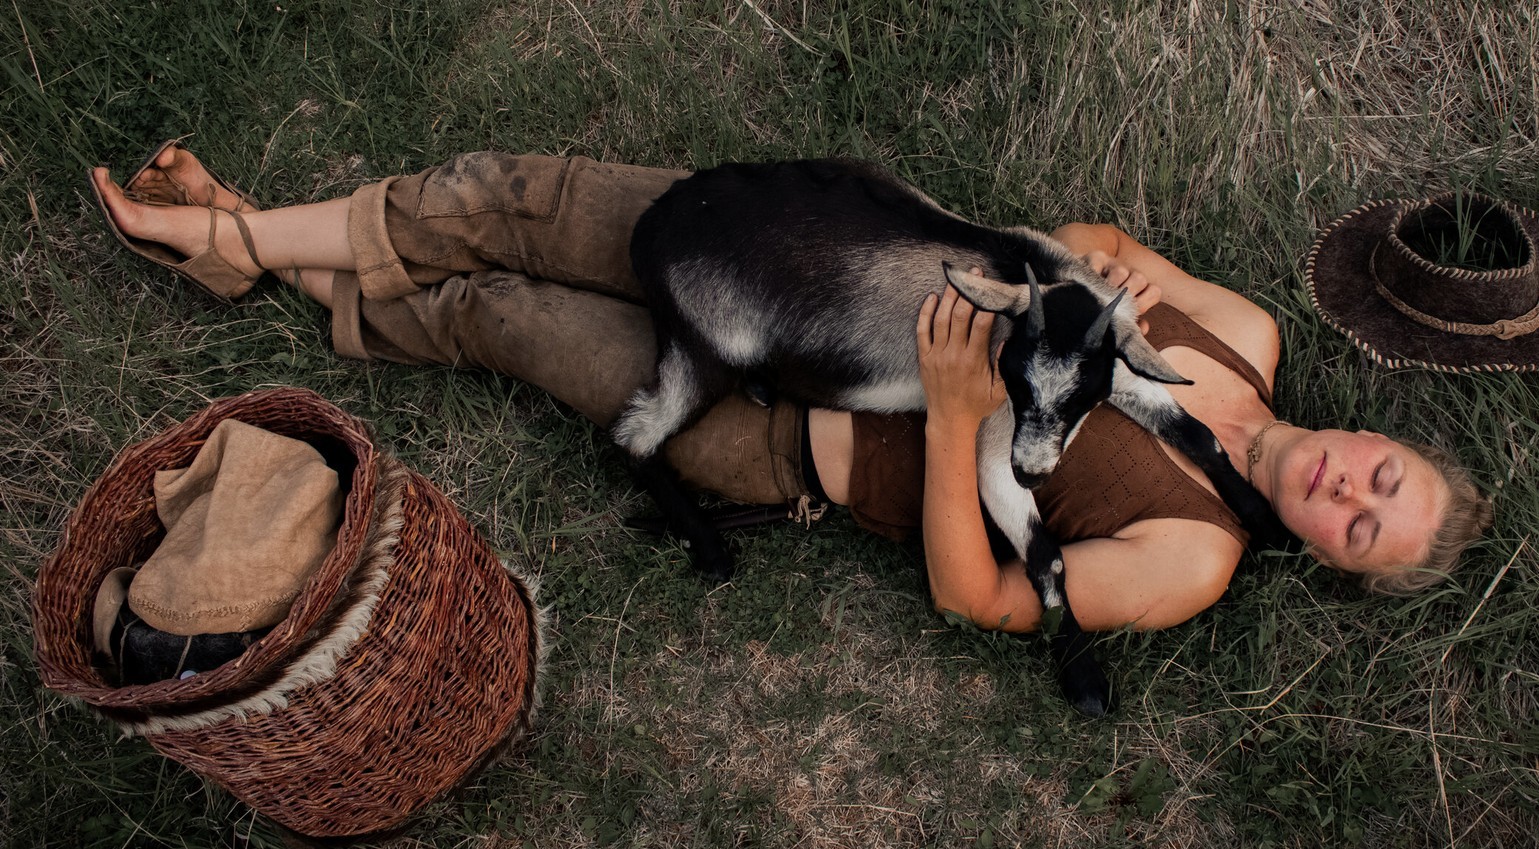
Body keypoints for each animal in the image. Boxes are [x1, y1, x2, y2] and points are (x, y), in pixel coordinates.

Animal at [614, 159, 1281, 715]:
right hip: (708, 343)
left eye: (1080, 396)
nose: (1032, 472)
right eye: (1015, 377)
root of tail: (648, 230)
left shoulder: (1115, 377)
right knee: (632, 436)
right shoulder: (995, 434)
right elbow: (1044, 550)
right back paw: (709, 547)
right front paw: (1084, 678)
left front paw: (1269, 524)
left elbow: (1197, 434)